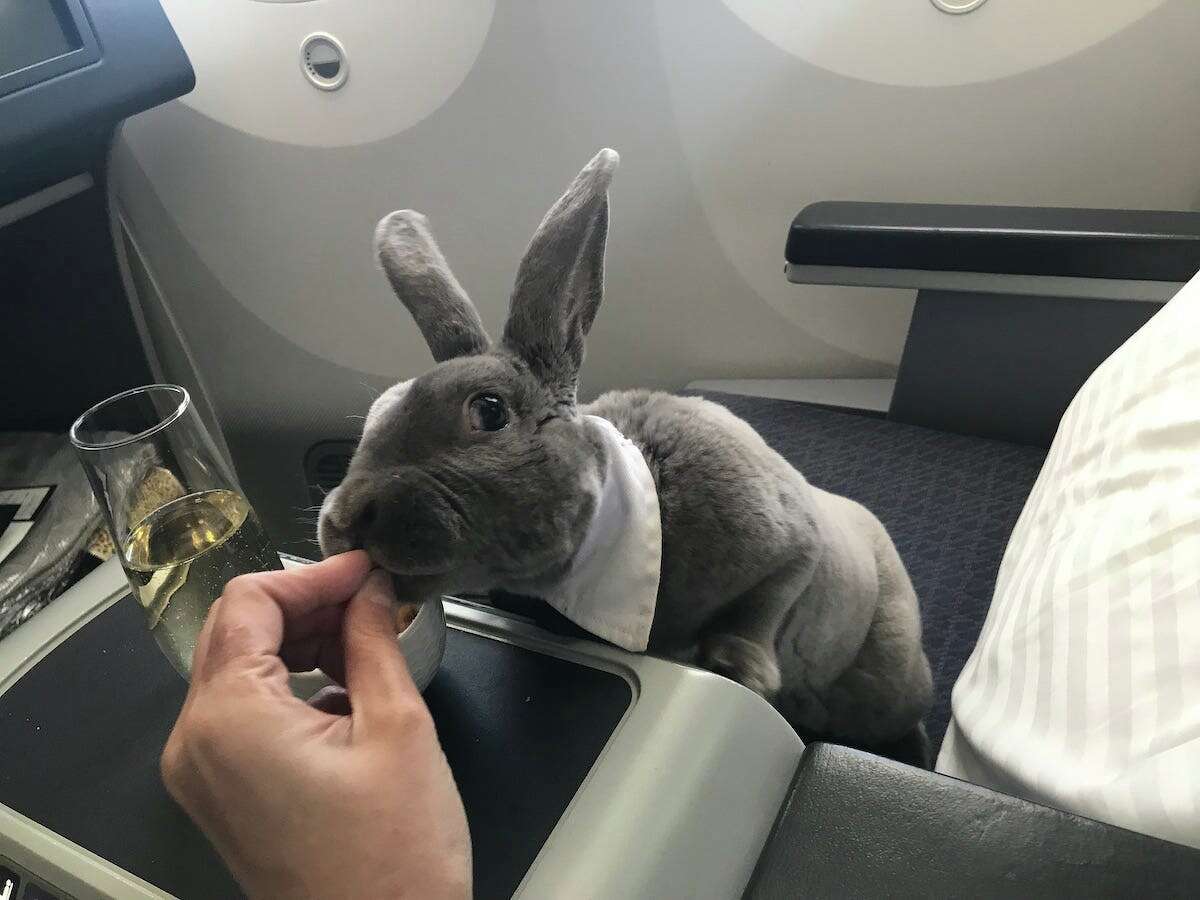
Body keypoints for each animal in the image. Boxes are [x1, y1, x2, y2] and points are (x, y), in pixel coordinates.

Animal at [318, 149, 934, 766]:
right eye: (378, 409)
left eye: (489, 411)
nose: (344, 523)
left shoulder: (794, 544)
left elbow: (768, 598)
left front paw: (735, 665)